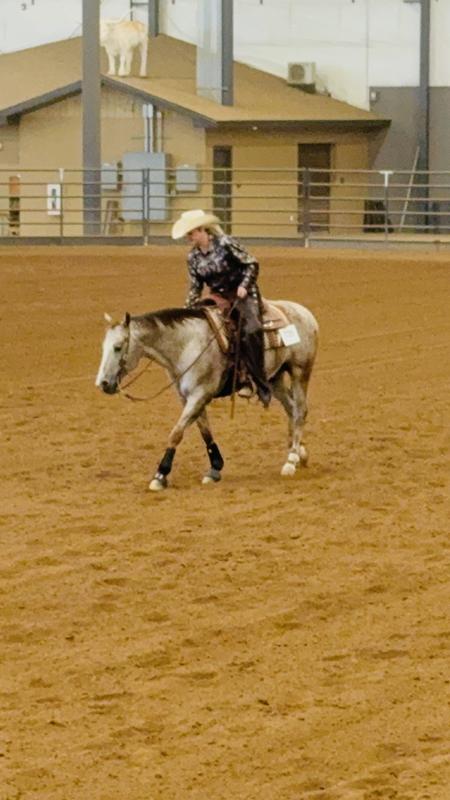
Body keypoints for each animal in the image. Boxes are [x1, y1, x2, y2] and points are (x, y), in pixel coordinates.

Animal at [95, 300, 319, 490]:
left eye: (117, 347)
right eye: (103, 347)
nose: (102, 383)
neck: (187, 346)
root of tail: (305, 312)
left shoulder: (200, 394)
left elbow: (176, 433)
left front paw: (160, 475)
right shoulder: (189, 397)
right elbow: (205, 432)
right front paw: (214, 469)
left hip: (300, 372)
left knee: (300, 411)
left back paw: (291, 461)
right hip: (275, 378)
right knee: (291, 409)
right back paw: (300, 453)